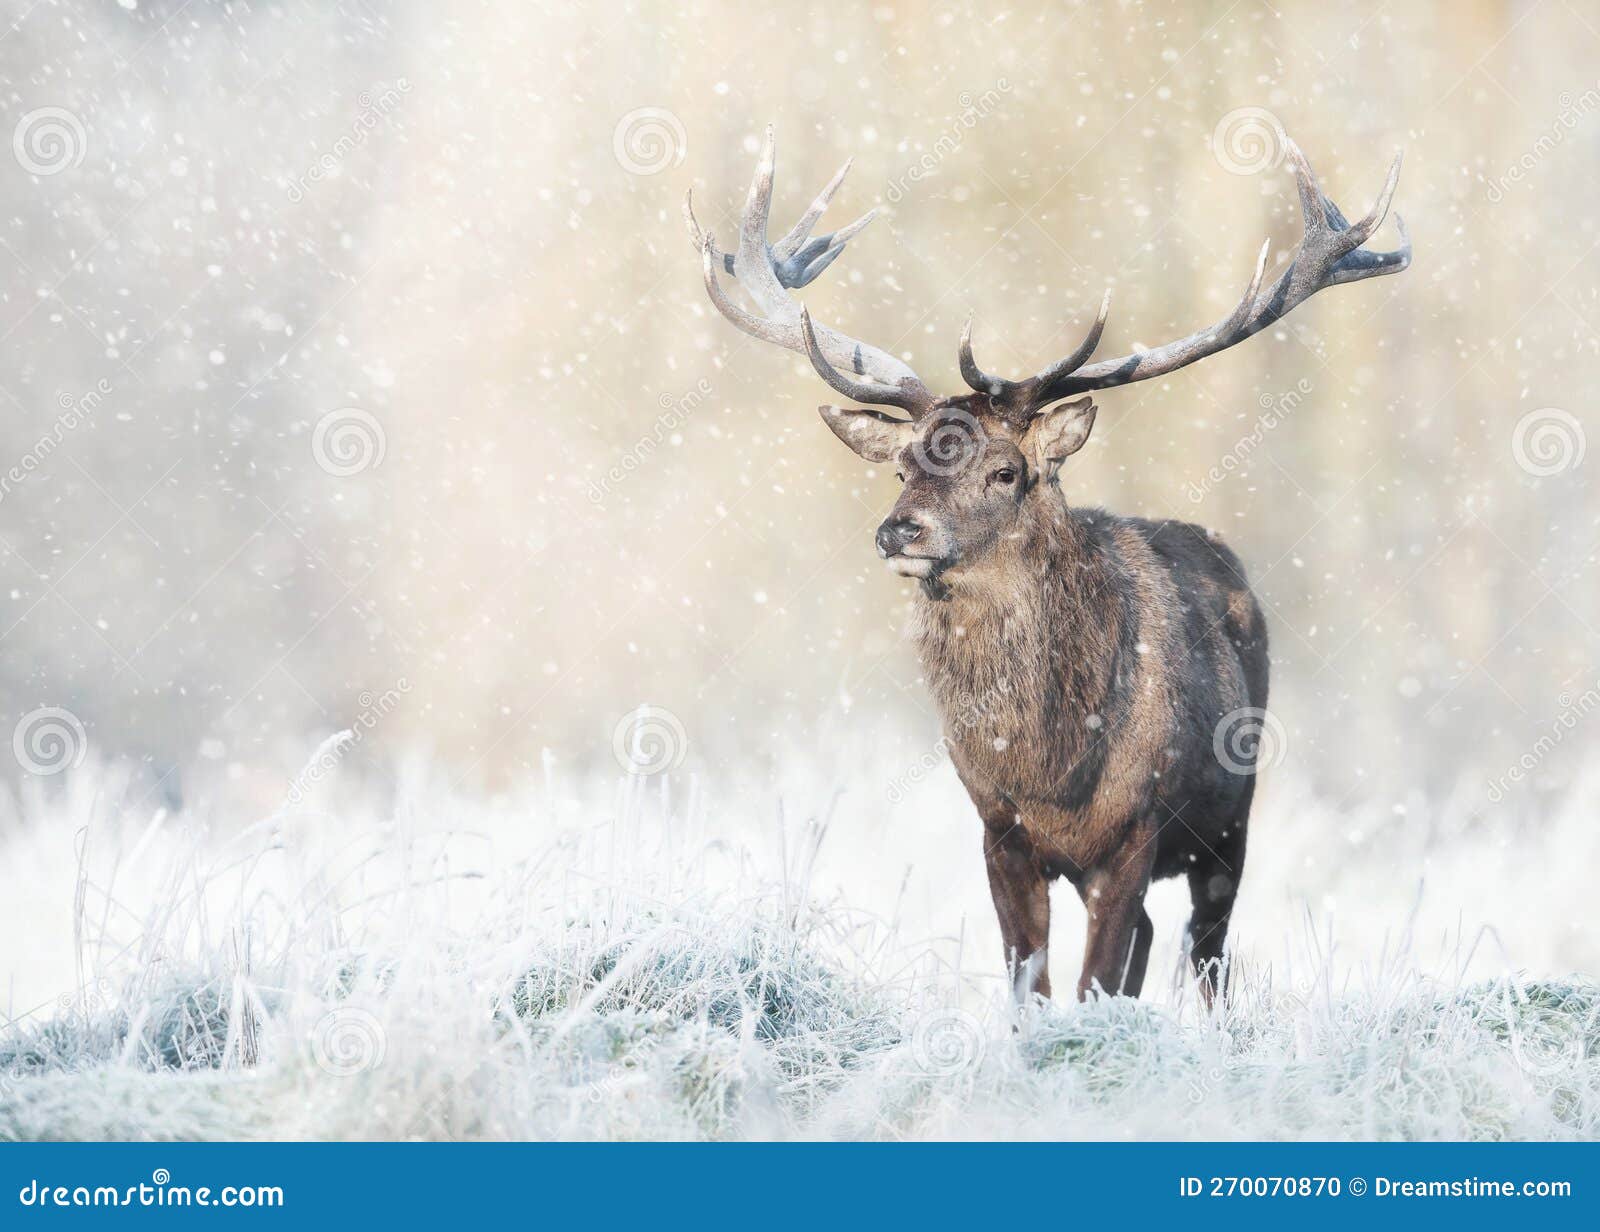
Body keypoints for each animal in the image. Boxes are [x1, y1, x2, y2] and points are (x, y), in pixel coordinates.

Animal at [686, 129, 1409, 1006]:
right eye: (903, 468)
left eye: (1005, 471)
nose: (899, 531)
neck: (1049, 767)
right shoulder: (999, 831)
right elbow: (1028, 988)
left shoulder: (1134, 832)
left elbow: (1096, 979)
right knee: (1152, 941)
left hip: (1231, 823)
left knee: (1205, 958)